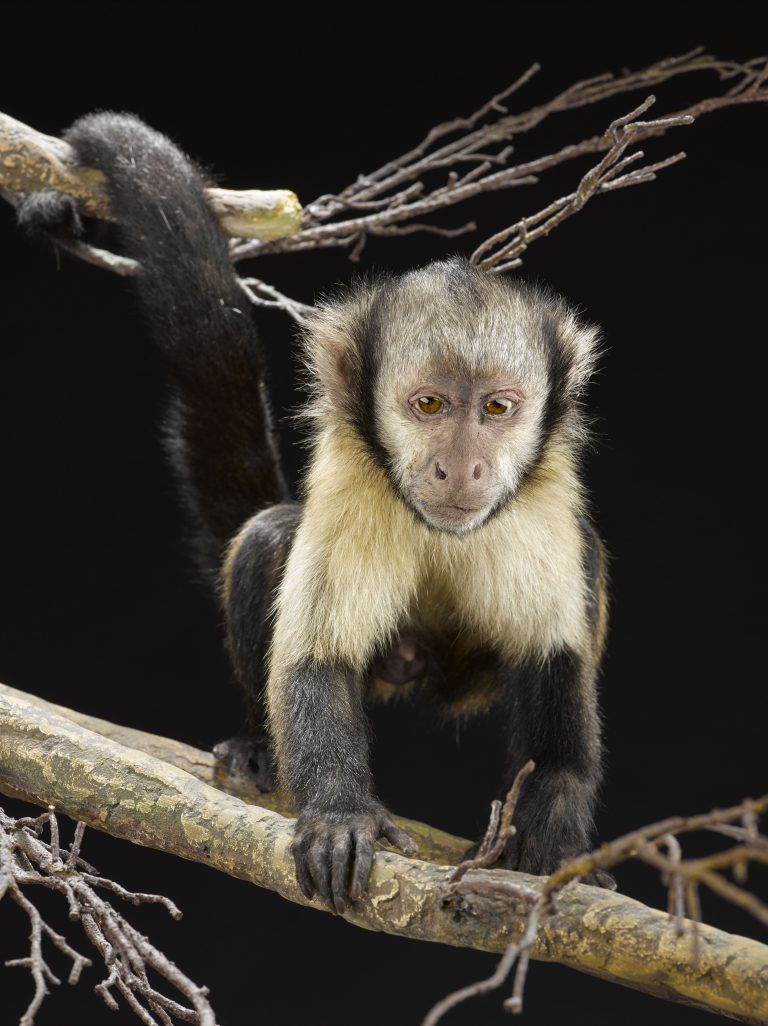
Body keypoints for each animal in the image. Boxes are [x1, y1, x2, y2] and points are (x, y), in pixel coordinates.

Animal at [17, 112, 613, 915]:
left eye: (496, 408)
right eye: (429, 405)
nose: (462, 466)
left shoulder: (544, 503)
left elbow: (557, 704)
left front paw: (555, 844)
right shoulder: (351, 479)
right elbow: (314, 662)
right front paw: (337, 815)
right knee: (269, 538)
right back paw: (257, 745)